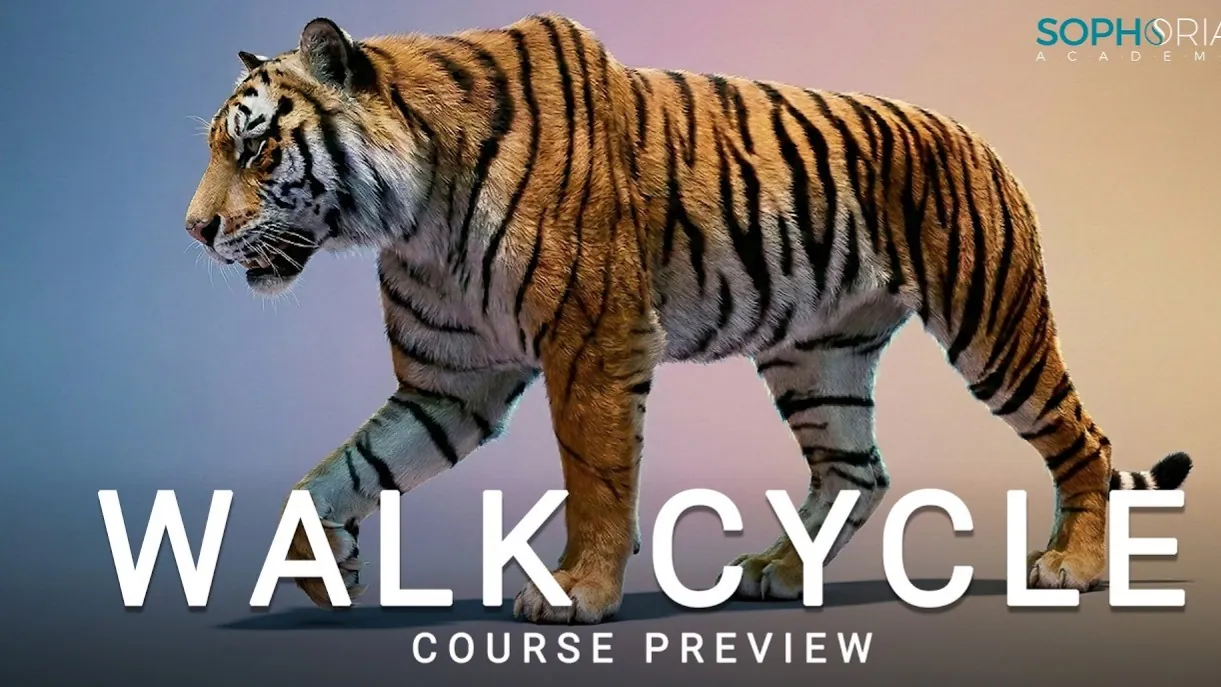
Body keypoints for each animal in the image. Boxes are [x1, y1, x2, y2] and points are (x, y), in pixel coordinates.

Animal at [185, 14, 1193, 623]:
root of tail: (977, 139)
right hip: (816, 356)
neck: (411, 212)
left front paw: (575, 591)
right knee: (856, 468)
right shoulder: (449, 382)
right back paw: (780, 572)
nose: (194, 232)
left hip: (992, 321)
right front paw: (325, 569)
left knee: (1082, 438)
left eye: (256, 146)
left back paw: (1072, 565)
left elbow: (594, 476)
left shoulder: (591, 342)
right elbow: (340, 469)